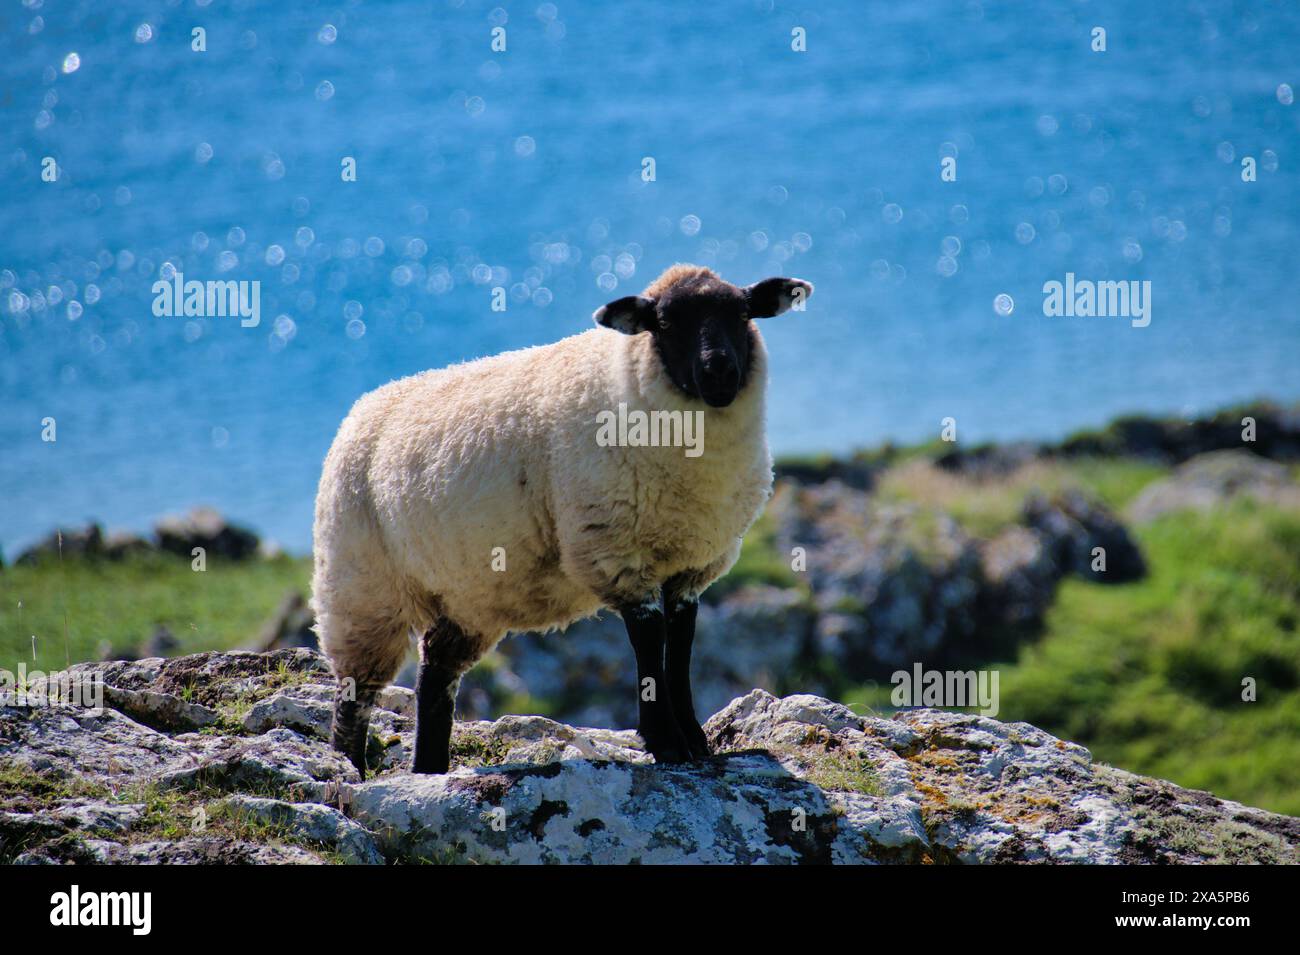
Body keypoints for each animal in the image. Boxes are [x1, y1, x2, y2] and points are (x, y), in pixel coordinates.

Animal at [312, 264, 813, 775]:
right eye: (666, 323)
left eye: (742, 313)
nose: (719, 372)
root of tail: (363, 409)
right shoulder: (617, 554)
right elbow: (649, 642)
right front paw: (665, 742)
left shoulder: (693, 565)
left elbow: (681, 644)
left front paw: (694, 741)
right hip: (361, 585)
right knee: (355, 693)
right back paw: (349, 766)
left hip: (468, 596)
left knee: (436, 670)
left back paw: (429, 768)